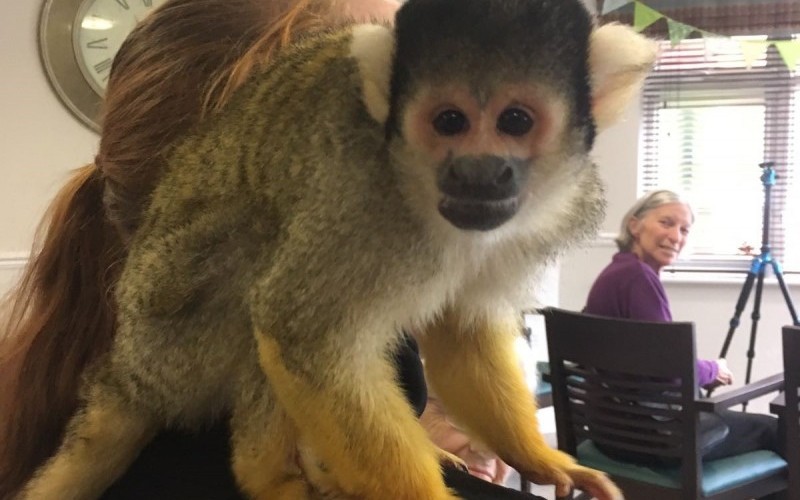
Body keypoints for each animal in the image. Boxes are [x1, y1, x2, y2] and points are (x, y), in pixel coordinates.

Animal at [11, 0, 657, 498]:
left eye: (516, 120)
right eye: (448, 121)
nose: (478, 174)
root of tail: (127, 369)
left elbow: (461, 330)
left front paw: (540, 459)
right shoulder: (357, 201)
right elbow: (304, 336)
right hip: (170, 335)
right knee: (258, 263)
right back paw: (267, 477)